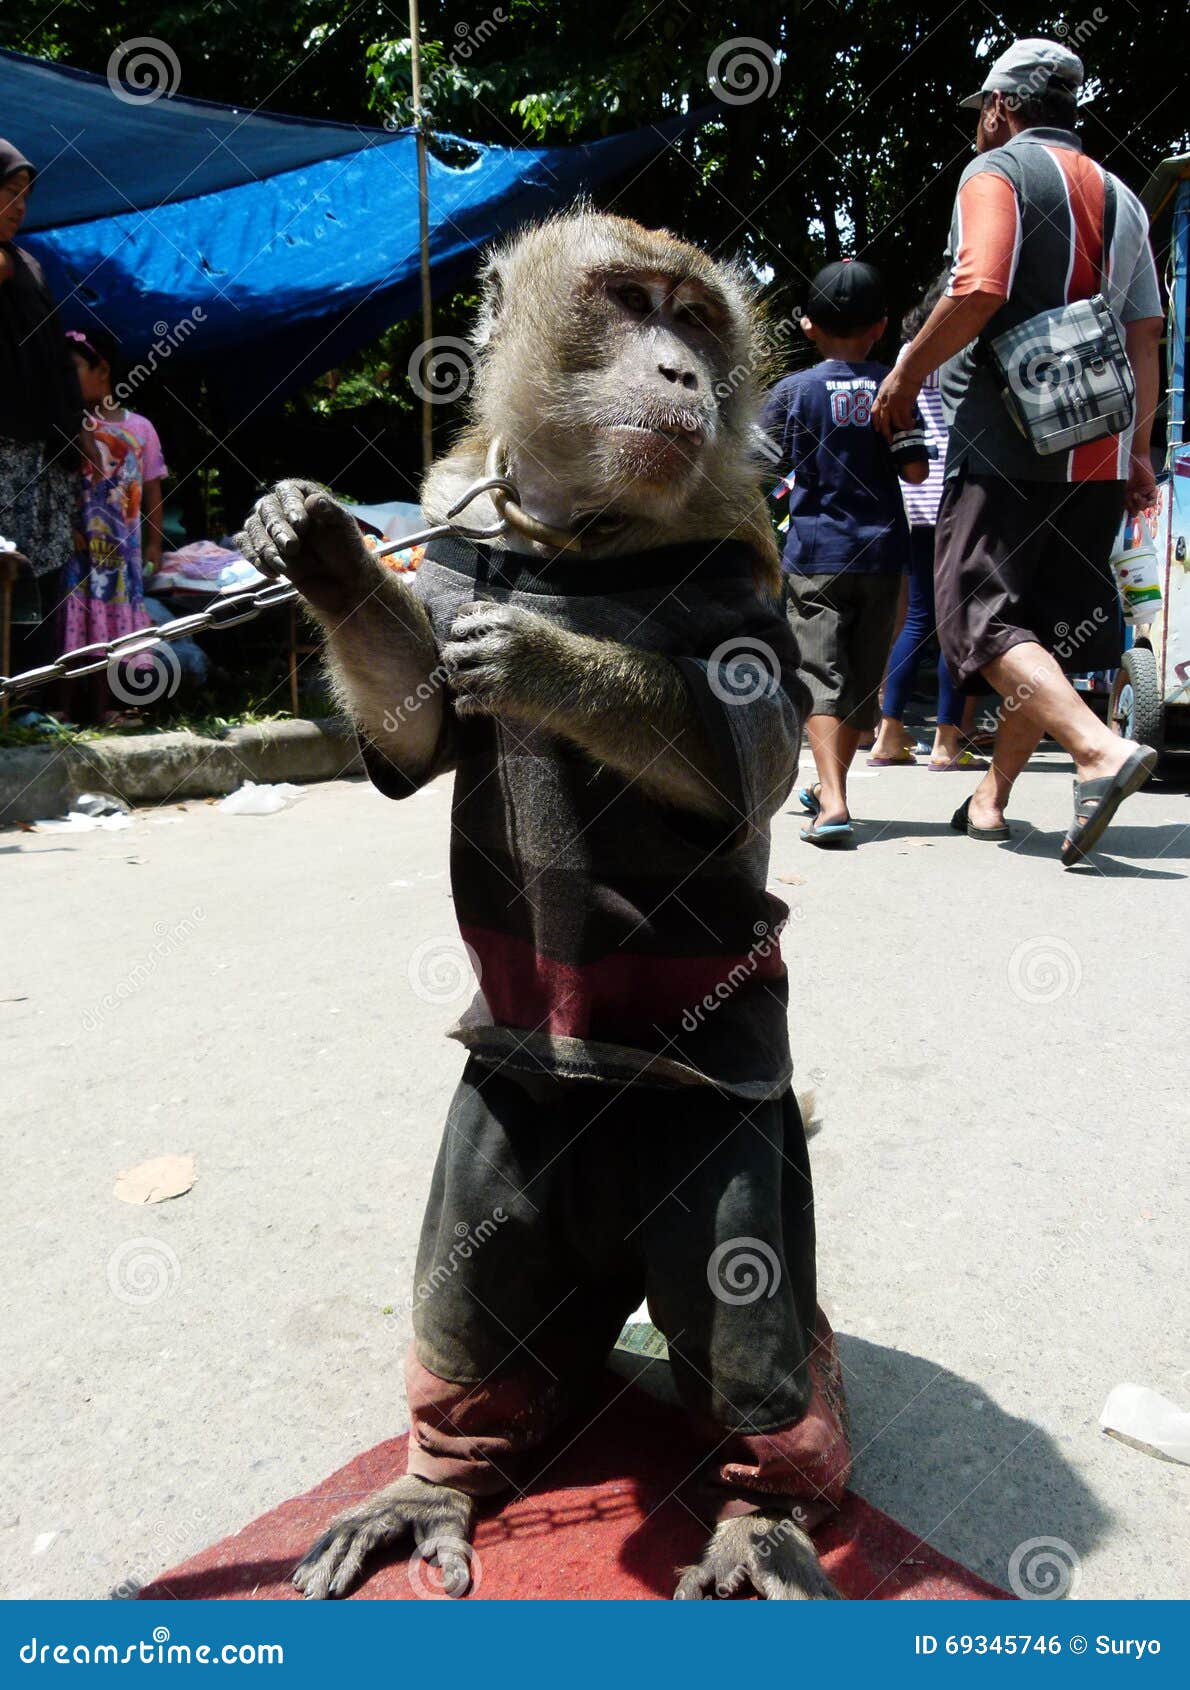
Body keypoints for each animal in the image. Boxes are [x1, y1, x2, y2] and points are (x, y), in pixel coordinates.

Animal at [238, 210, 851, 1603]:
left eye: (697, 319)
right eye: (630, 302)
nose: (681, 374)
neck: (579, 535)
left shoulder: (736, 550)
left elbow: (748, 748)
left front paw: (545, 658)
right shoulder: (465, 527)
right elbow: (418, 728)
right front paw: (323, 548)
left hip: (717, 1163)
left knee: (747, 1328)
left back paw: (761, 1511)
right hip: (512, 1137)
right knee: (475, 1298)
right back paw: (441, 1473)